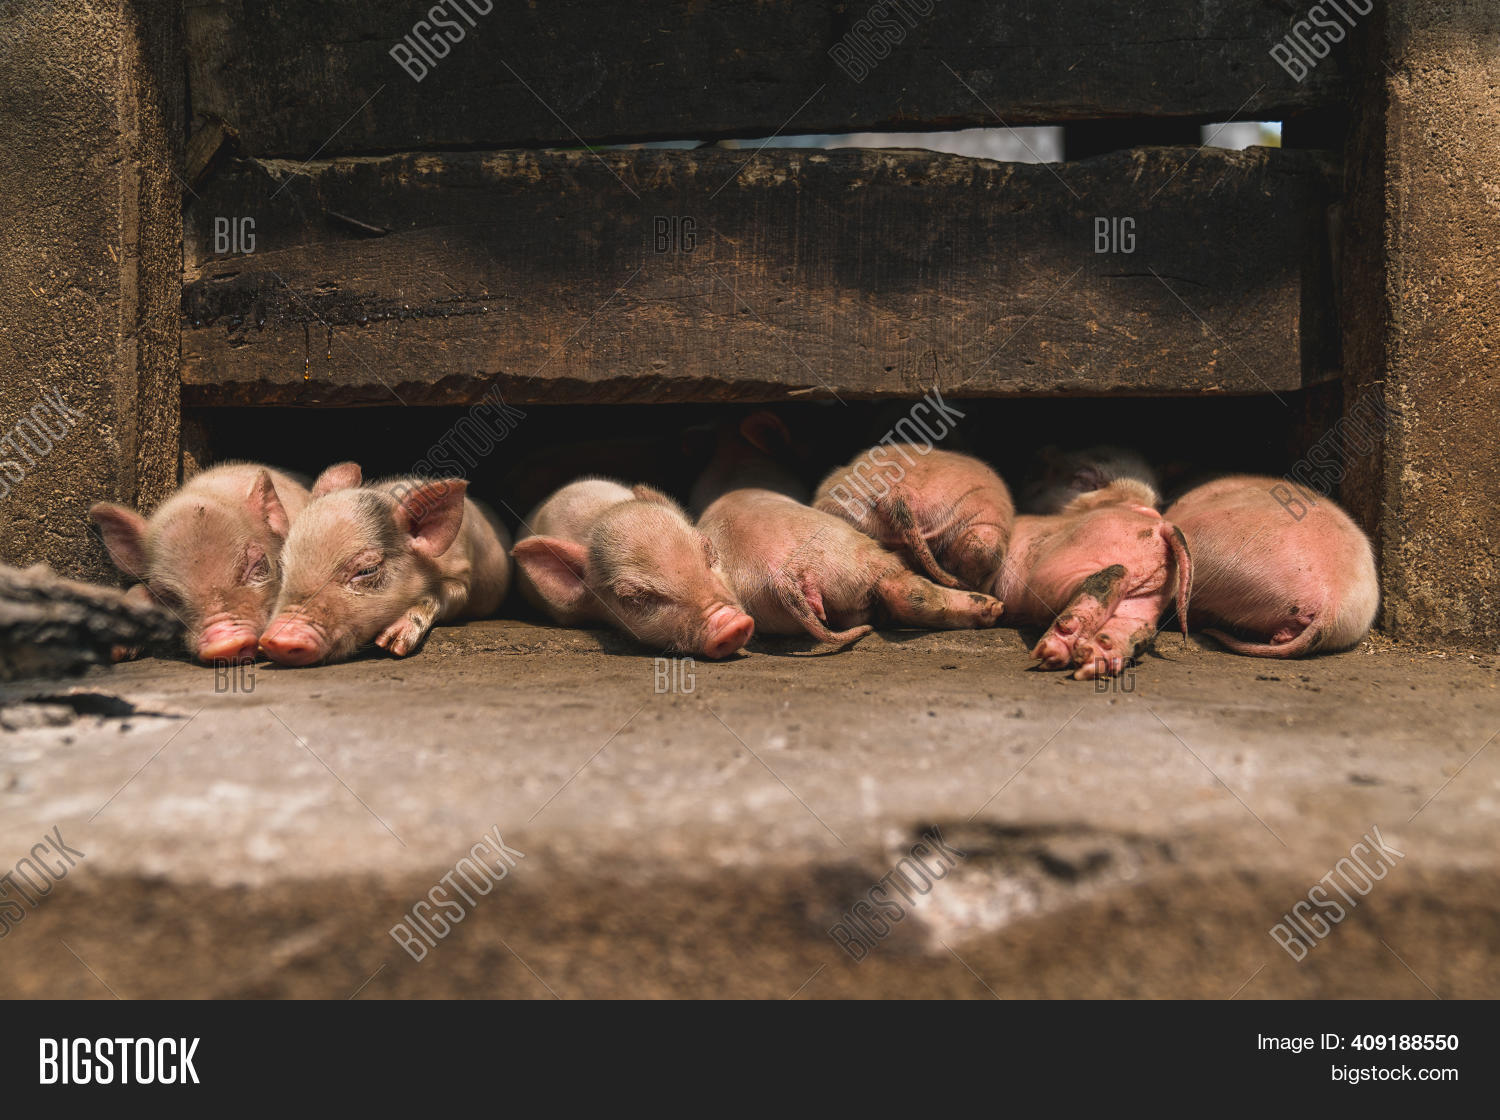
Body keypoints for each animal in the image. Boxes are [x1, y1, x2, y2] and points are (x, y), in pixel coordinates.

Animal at [259, 464, 511, 665]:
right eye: (283, 565)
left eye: (367, 570)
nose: (276, 640)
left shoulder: (462, 574)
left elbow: (442, 596)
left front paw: (390, 645)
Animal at [993, 479, 1192, 680]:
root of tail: (1161, 524)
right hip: (1149, 593)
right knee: (1137, 624)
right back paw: (1096, 662)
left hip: (1052, 571)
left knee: (1113, 575)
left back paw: (1050, 651)